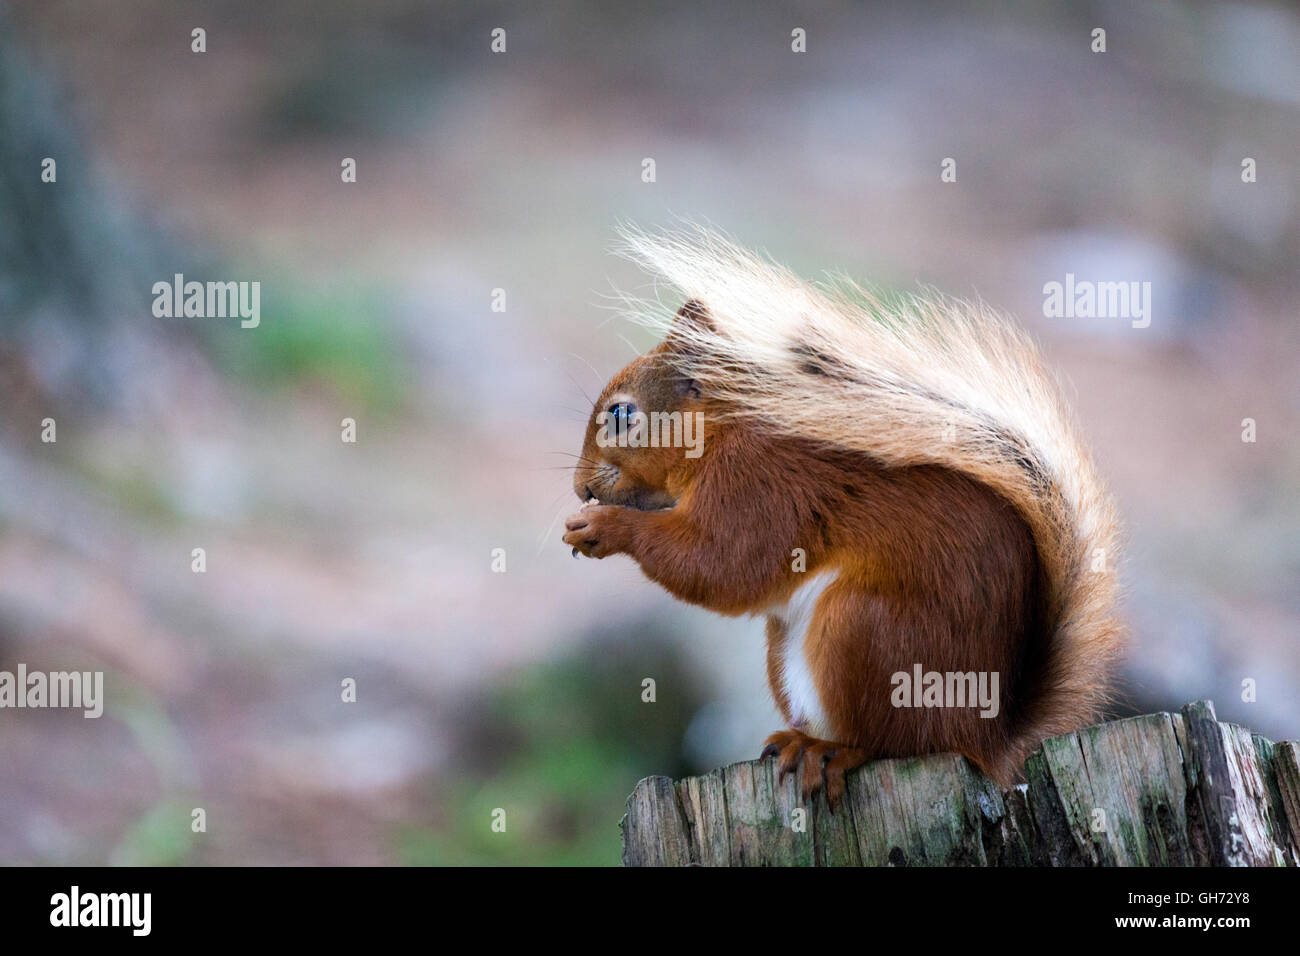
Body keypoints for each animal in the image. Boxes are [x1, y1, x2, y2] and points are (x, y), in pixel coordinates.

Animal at [564, 227, 1123, 806]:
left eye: (622, 414)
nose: (580, 487)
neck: (723, 431)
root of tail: (989, 734)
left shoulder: (762, 485)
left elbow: (722, 564)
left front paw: (605, 528)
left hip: (862, 631)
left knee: (898, 742)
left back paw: (832, 750)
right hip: (787, 647)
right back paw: (798, 740)